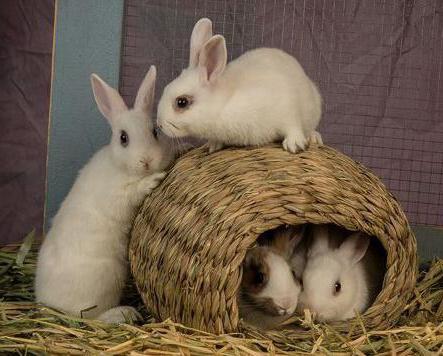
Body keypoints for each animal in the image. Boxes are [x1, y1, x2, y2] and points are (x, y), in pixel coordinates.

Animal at [33, 65, 170, 324]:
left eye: (155, 132)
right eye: (123, 138)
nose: (147, 161)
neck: (124, 168)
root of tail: (46, 300)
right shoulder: (116, 196)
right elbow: (131, 193)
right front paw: (154, 180)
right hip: (106, 279)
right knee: (92, 317)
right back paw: (123, 313)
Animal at [158, 17, 324, 153]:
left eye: (182, 102)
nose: (159, 125)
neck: (224, 105)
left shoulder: (286, 107)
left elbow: (292, 126)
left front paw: (295, 145)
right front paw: (212, 146)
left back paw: (314, 138)